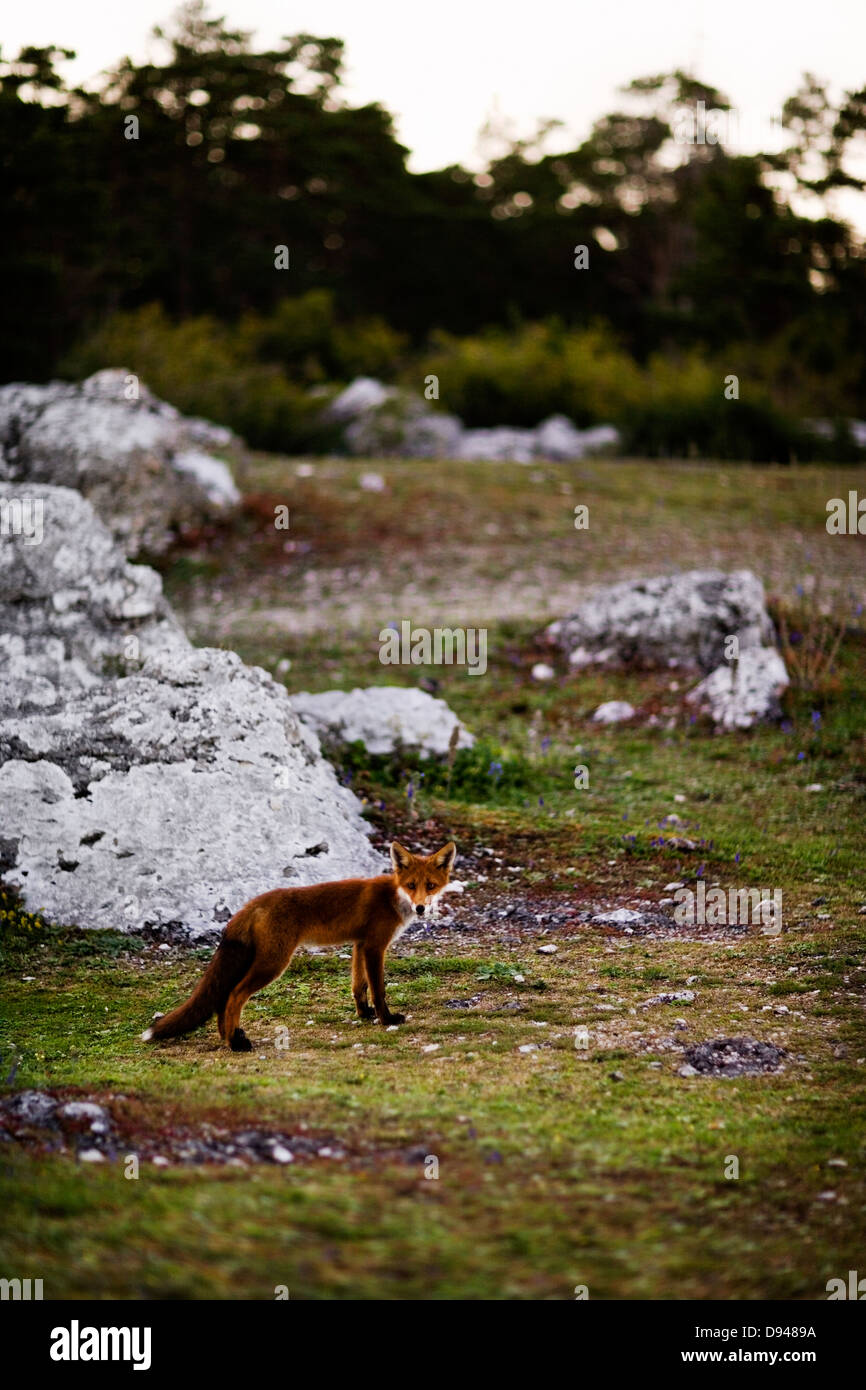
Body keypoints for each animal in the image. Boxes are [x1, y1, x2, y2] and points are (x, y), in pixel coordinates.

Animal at [141, 840, 457, 1051]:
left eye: (430, 885)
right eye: (411, 885)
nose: (420, 908)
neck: (393, 898)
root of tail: (252, 904)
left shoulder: (359, 944)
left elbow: (359, 986)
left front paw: (364, 1014)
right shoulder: (374, 947)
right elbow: (378, 989)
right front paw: (386, 1018)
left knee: (223, 999)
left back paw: (231, 1036)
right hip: (274, 963)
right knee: (233, 995)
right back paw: (235, 1043)